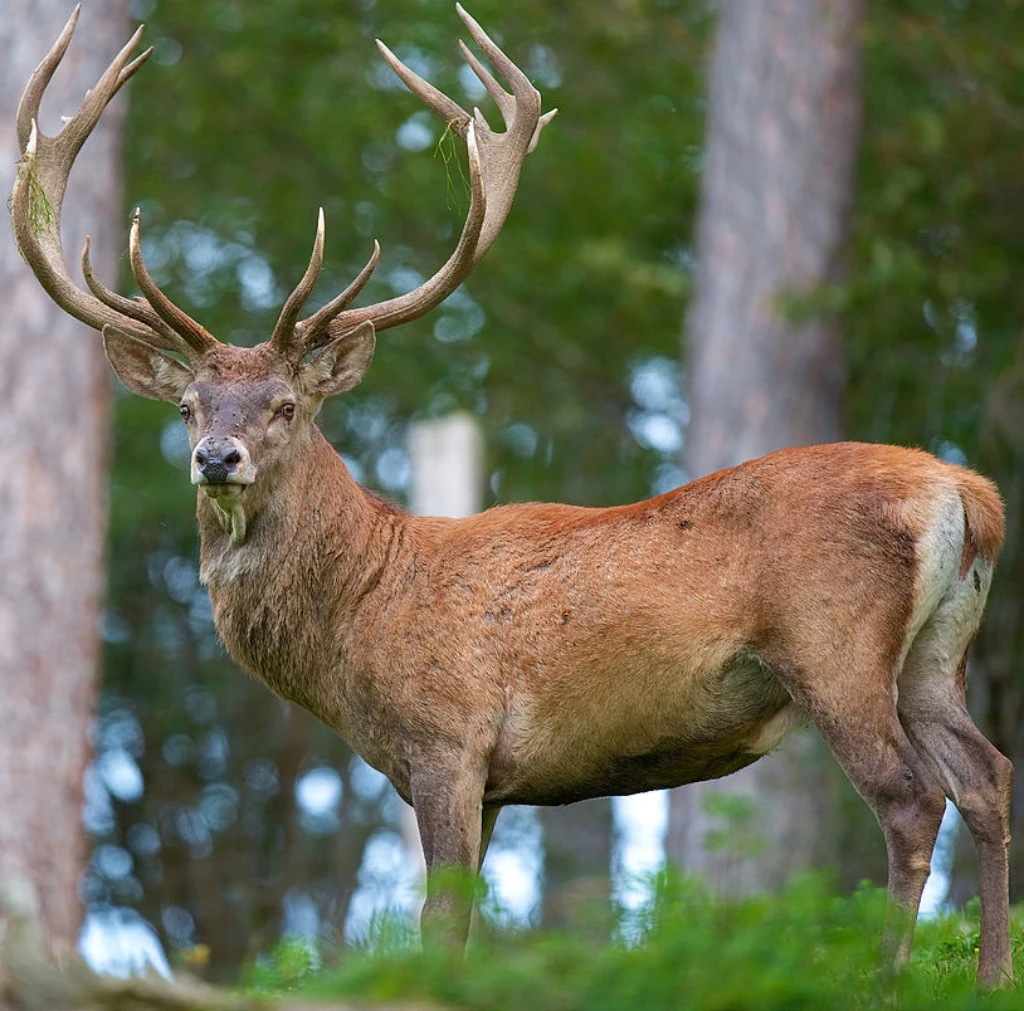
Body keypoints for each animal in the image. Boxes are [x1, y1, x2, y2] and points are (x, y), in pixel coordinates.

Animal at [11, 4, 1014, 990]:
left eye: (286, 405)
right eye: (187, 406)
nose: (217, 457)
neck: (360, 613)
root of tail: (967, 492)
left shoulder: (447, 742)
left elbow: (440, 924)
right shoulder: (489, 782)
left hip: (833, 644)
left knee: (911, 798)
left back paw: (886, 977)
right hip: (935, 654)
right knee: (987, 775)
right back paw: (994, 975)